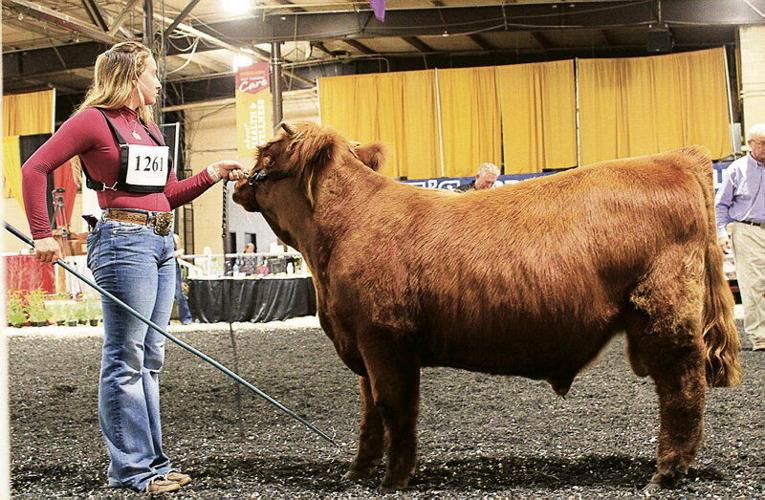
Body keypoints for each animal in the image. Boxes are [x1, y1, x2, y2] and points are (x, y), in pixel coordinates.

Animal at [232, 122, 742, 492]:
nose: (236, 179)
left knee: (682, 387)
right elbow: (369, 414)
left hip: (665, 316)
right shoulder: (362, 344)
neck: (337, 235)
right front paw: (357, 472)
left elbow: (395, 406)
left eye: (266, 156)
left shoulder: (385, 339)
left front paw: (393, 480)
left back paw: (666, 472)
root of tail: (675, 158)